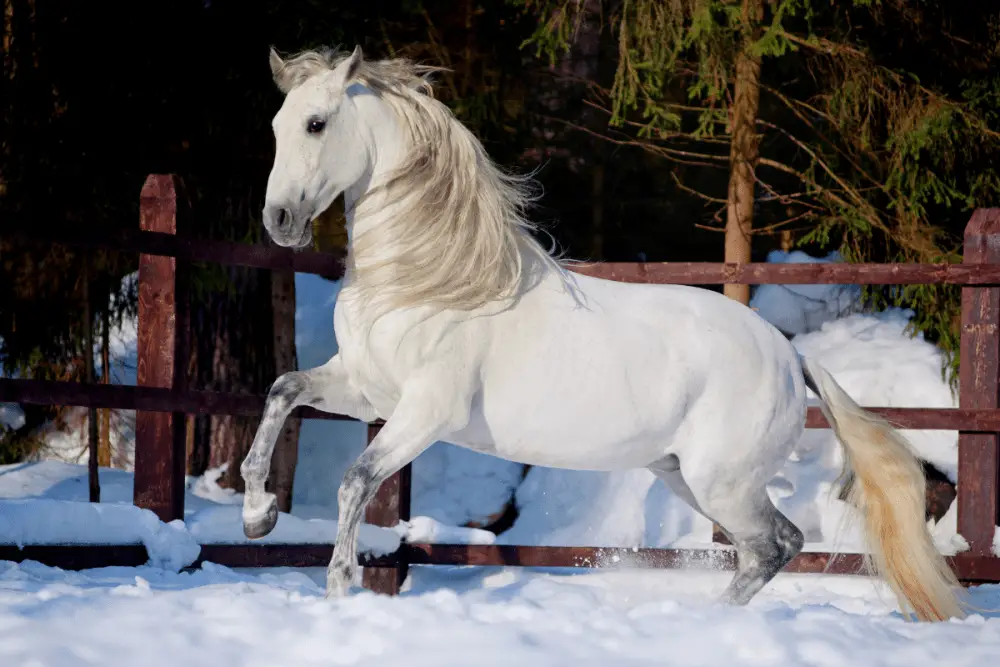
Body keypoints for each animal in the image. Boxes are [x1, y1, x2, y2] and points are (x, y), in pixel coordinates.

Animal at [239, 45, 964, 622]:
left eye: (316, 123)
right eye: (273, 125)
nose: (279, 221)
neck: (433, 277)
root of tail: (790, 354)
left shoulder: (424, 410)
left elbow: (355, 480)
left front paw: (339, 586)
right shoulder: (368, 391)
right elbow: (282, 391)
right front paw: (256, 515)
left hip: (721, 481)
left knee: (776, 544)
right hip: (687, 476)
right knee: (772, 544)